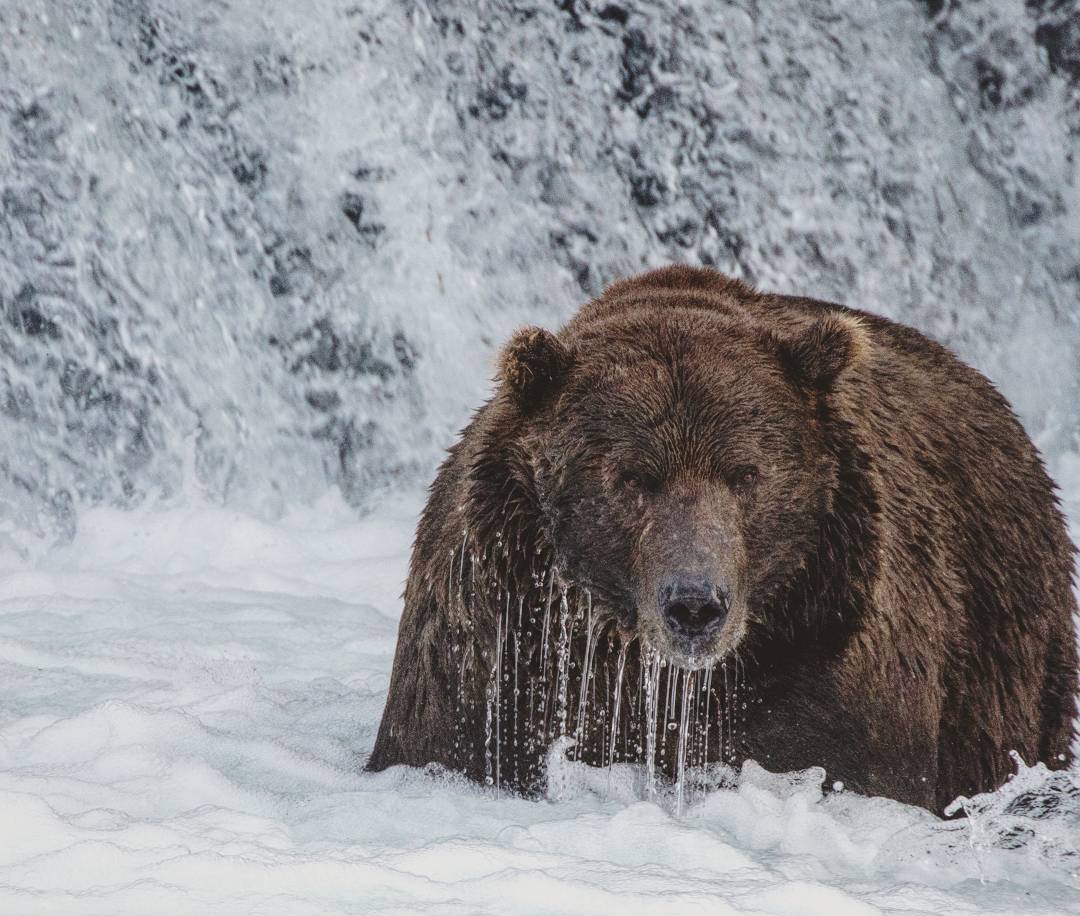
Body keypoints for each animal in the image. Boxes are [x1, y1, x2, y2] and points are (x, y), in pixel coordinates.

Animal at [368, 265, 1079, 813]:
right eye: (634, 476)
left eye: (745, 473)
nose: (695, 606)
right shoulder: (497, 657)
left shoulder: (829, 647)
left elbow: (835, 755)